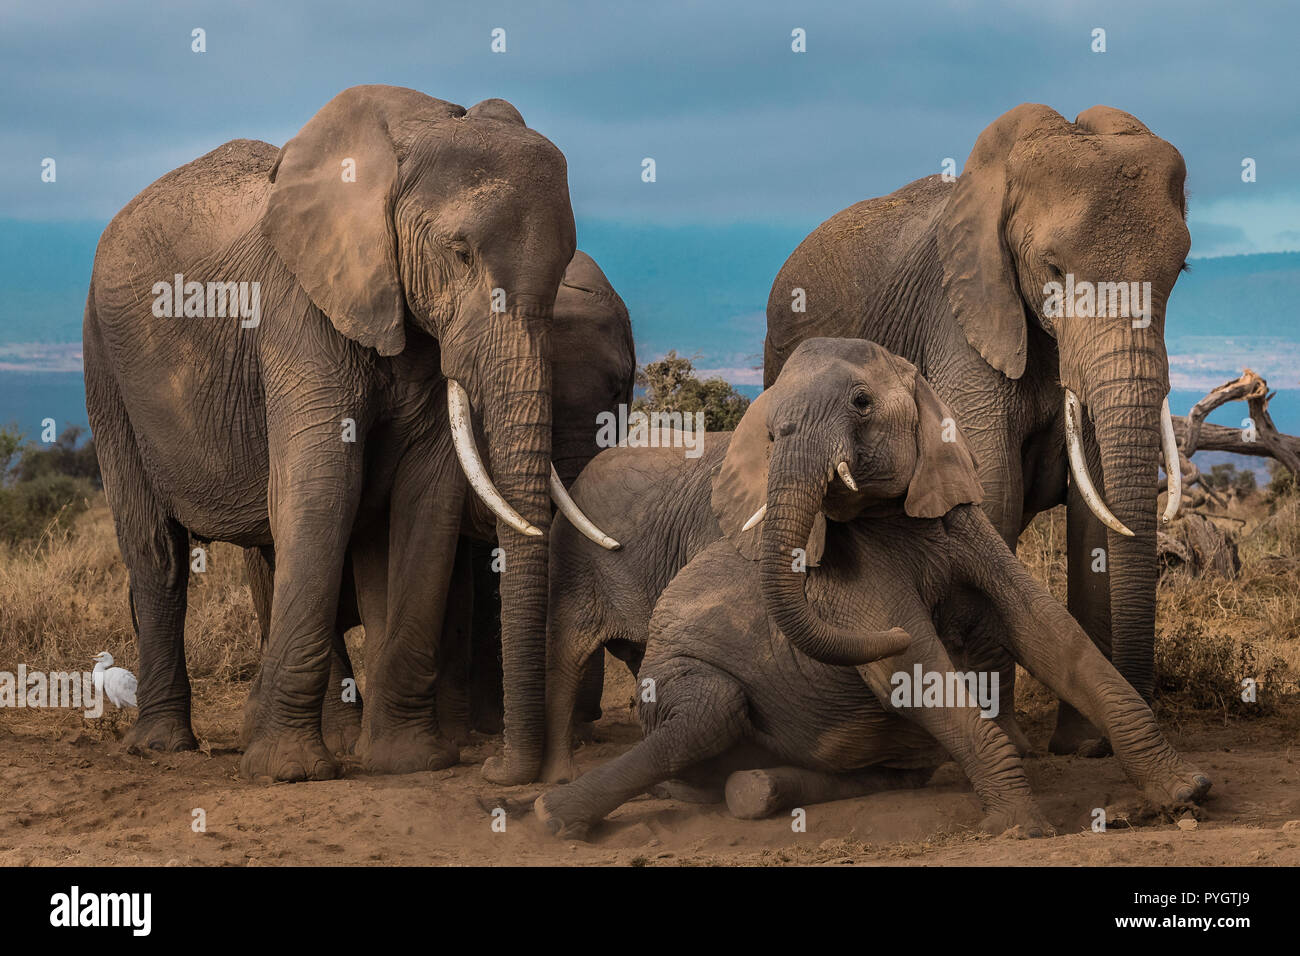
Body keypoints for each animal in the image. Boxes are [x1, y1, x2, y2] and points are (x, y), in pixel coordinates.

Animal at [535, 338, 1211, 840]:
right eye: (772, 433)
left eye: (861, 402)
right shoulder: (846, 577)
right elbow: (909, 670)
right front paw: (1023, 827)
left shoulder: (958, 516)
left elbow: (1045, 630)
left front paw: (1187, 792)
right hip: (670, 672)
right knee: (709, 711)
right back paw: (552, 812)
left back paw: (759, 788)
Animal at [764, 104, 1191, 755]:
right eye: (1053, 271)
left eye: (1180, 272)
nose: (1145, 704)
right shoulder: (960, 322)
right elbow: (995, 492)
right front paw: (1013, 739)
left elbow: (1092, 516)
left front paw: (1084, 749)